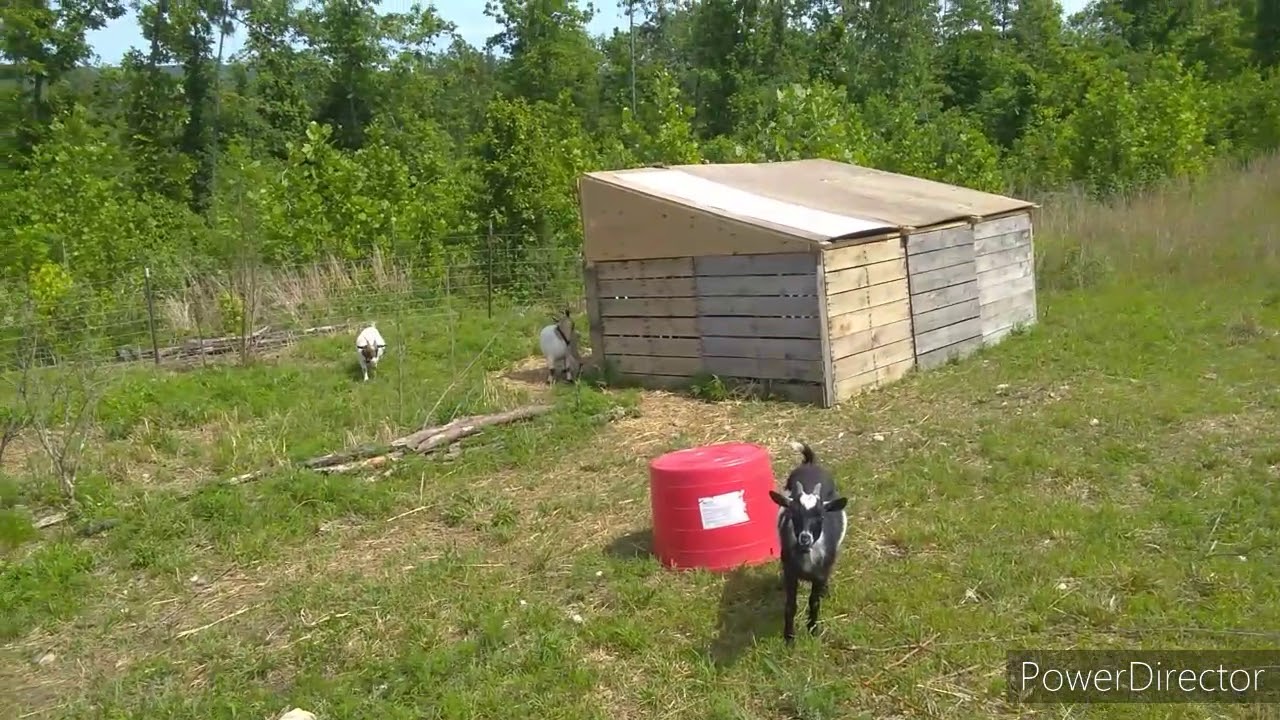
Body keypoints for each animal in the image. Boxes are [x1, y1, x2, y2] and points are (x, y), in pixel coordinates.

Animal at [768, 441, 849, 645]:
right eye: (793, 515)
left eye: (820, 516)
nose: (805, 537)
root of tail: (810, 464)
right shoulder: (790, 573)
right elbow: (791, 605)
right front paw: (789, 638)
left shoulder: (820, 574)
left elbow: (814, 602)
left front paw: (812, 630)